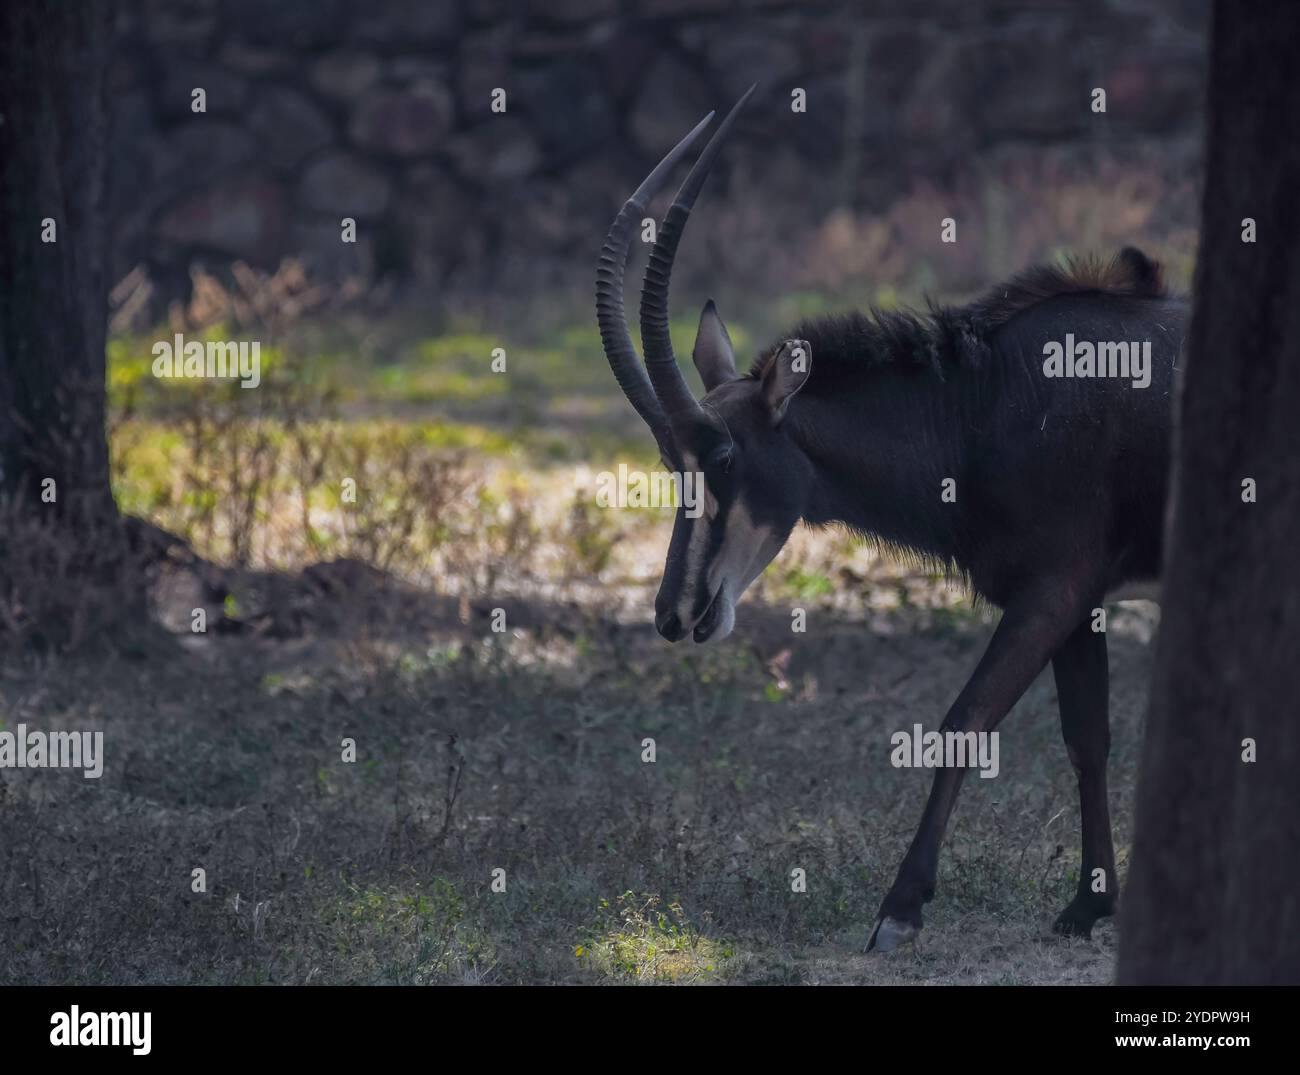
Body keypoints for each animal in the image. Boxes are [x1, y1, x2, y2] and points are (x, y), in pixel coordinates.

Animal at [595, 87, 1186, 951]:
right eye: (673, 461)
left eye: (726, 456)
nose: (676, 612)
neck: (980, 408)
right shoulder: (1083, 605)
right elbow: (1088, 738)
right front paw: (1088, 904)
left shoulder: (1051, 591)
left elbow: (962, 720)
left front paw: (900, 907)